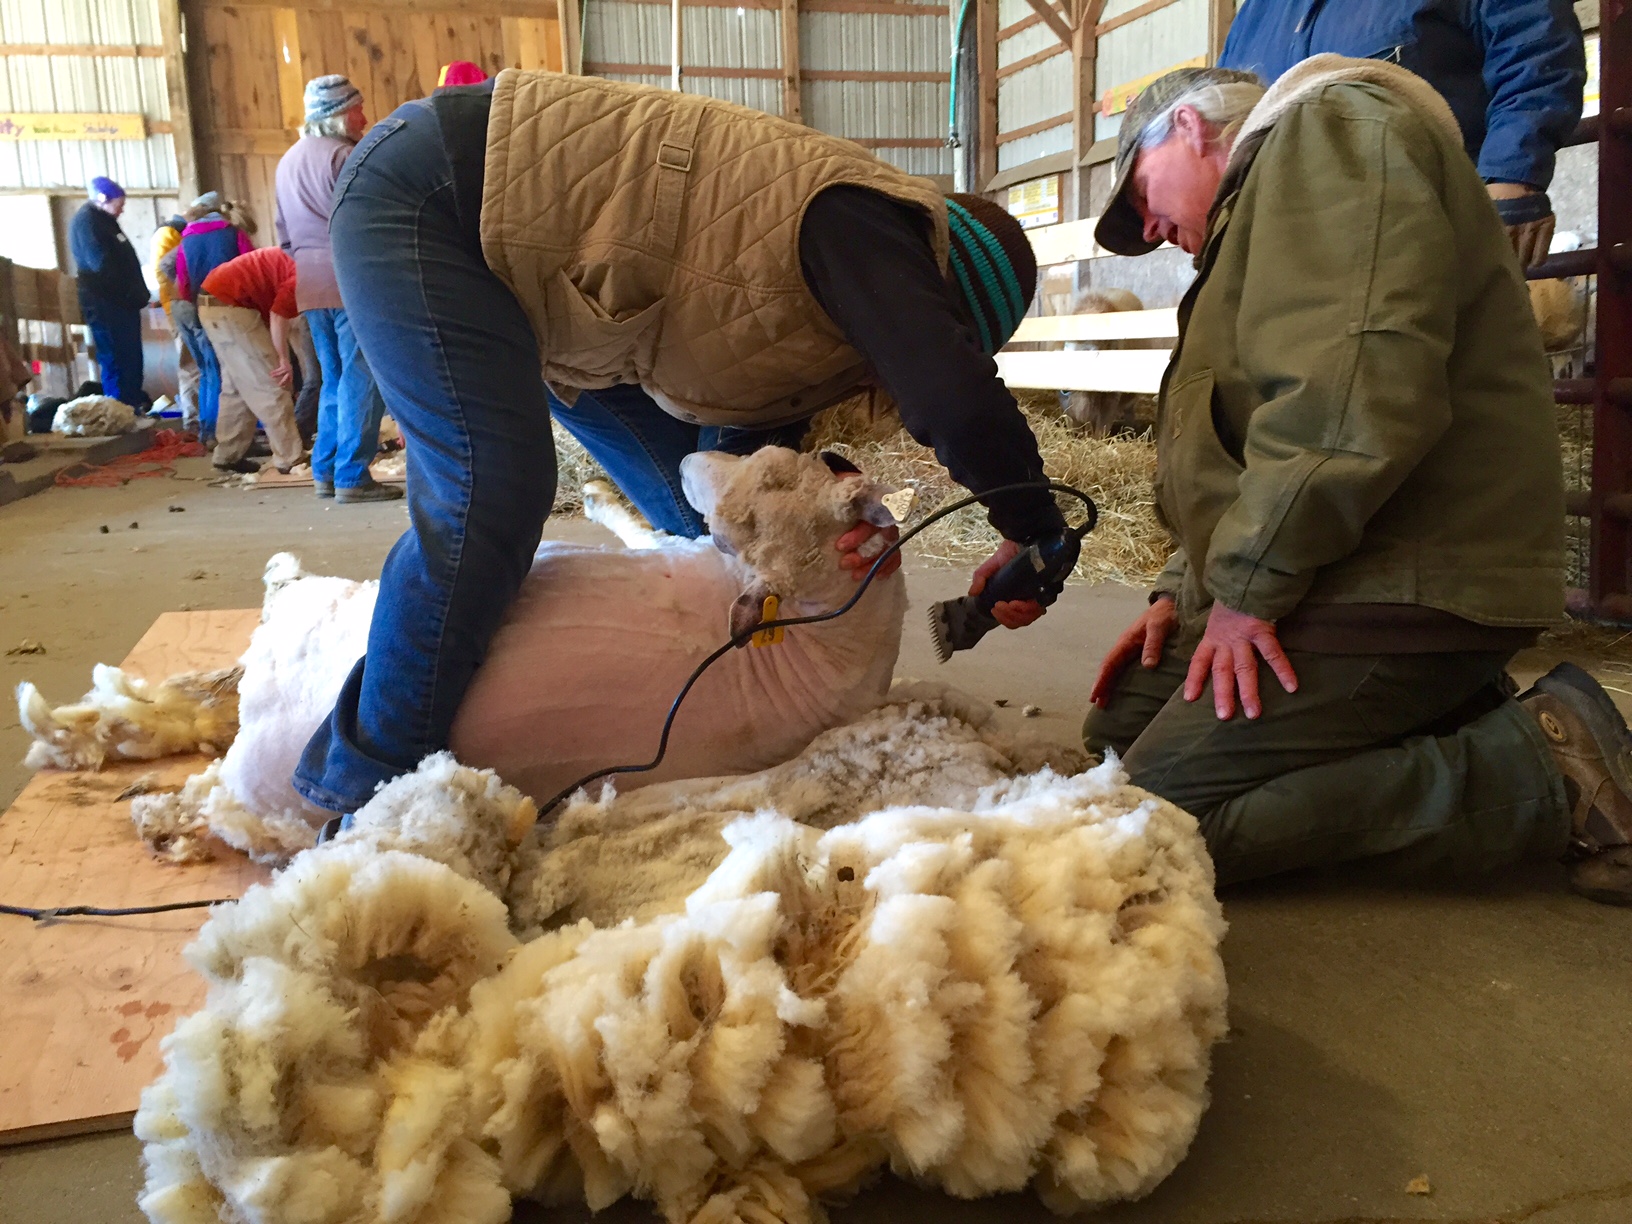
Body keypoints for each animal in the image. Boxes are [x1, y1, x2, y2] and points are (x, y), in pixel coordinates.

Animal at [19, 447, 908, 863]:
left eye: (758, 503)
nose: (689, 462)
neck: (828, 634)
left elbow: (638, 531)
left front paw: (599, 498)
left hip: (302, 663)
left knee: (208, 739)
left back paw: (150, 798)